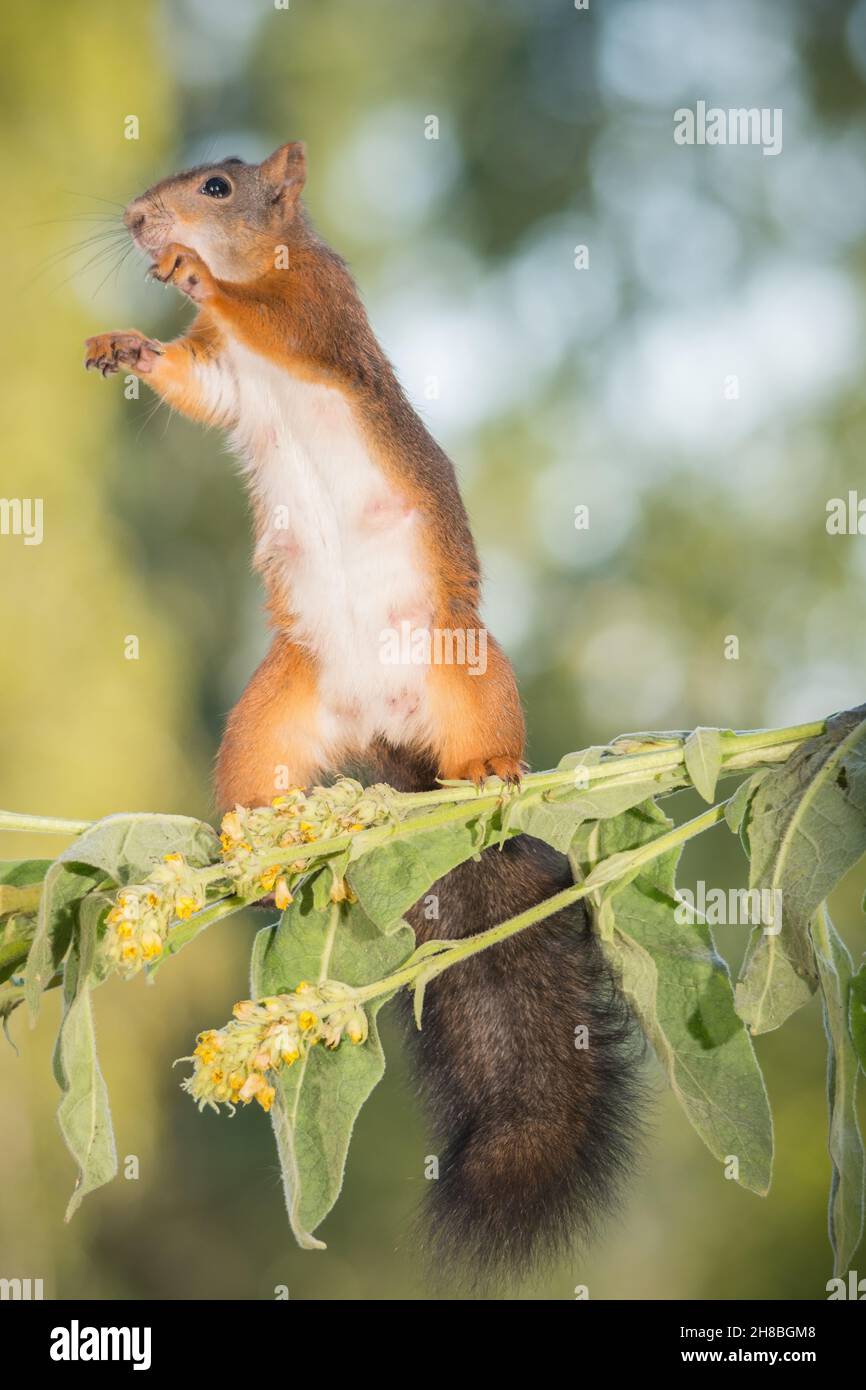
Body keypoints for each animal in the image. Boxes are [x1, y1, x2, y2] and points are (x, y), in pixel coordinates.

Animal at [84, 142, 639, 1279]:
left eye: (218, 187)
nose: (137, 221)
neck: (266, 253)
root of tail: (389, 740)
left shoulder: (316, 309)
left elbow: (274, 320)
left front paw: (191, 274)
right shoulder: (221, 373)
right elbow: (194, 381)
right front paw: (124, 341)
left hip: (467, 671)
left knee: (484, 742)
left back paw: (491, 777)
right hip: (274, 711)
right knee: (260, 785)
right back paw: (250, 849)